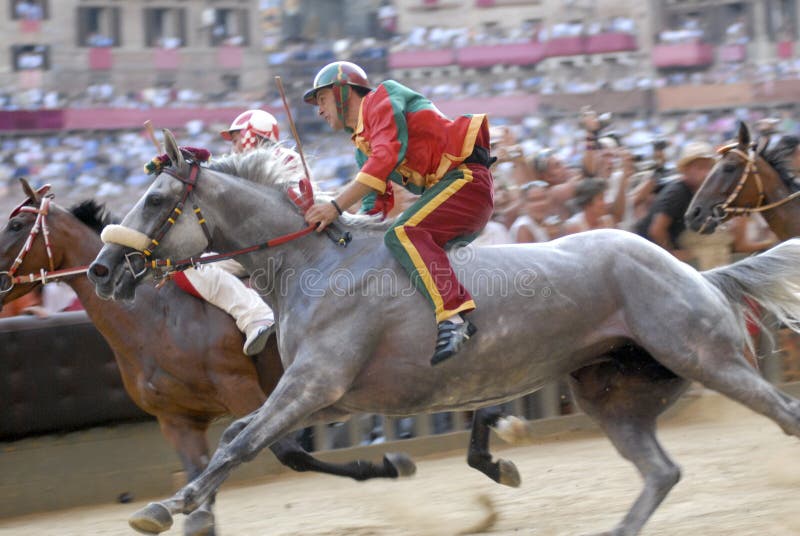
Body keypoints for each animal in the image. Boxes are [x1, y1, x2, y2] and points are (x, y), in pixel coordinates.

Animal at [89, 131, 800, 536]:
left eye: (156, 201)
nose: (101, 269)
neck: (314, 264)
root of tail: (694, 271)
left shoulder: (315, 382)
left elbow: (239, 442)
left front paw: (168, 505)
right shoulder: (331, 395)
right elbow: (247, 436)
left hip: (705, 355)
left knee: (784, 415)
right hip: (614, 394)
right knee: (661, 472)